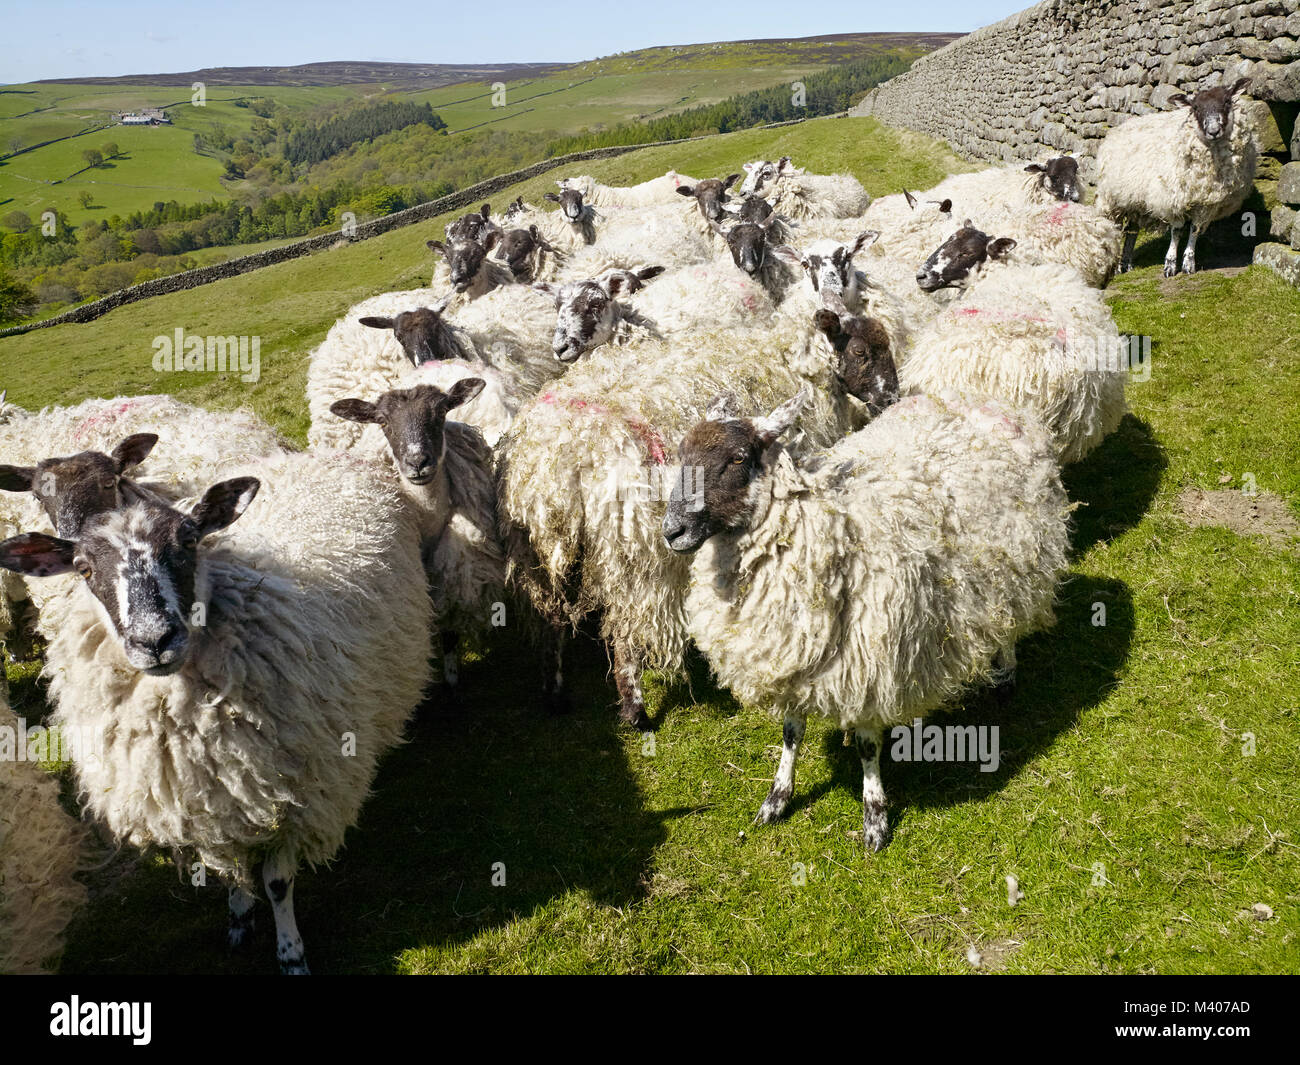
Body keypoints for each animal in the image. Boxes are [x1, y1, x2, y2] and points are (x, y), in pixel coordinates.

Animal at [496, 316, 865, 728]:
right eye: (865, 351)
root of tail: (561, 461)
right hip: (633, 565)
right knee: (625, 634)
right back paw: (636, 710)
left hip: (539, 559)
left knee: (553, 620)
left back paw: (556, 693)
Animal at [662, 386, 1070, 851]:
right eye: (681, 453)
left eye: (737, 457)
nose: (671, 531)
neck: (821, 525)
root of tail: (987, 401)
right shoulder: (791, 657)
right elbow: (791, 732)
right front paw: (777, 798)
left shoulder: (869, 663)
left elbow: (866, 746)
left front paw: (875, 815)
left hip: (1020, 557)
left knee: (1010, 617)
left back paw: (1005, 672)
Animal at [1094, 78, 1257, 276]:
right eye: (1195, 108)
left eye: (1226, 102)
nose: (1213, 131)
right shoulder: (1174, 197)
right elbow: (1177, 231)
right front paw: (1170, 265)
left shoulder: (1207, 203)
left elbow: (1194, 230)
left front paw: (1188, 263)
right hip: (1112, 198)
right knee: (1116, 229)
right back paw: (1117, 267)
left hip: (1135, 200)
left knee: (1132, 230)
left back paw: (1127, 264)